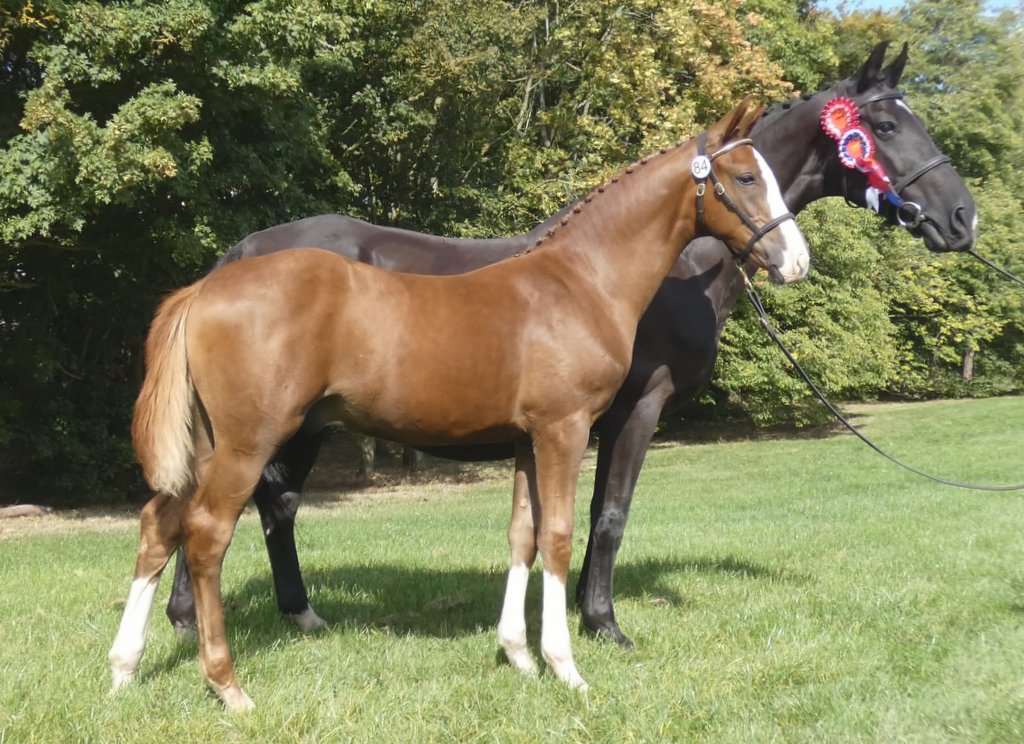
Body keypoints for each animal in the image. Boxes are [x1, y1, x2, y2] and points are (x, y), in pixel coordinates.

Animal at [108, 99, 810, 711]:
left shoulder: (528, 440)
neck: (580, 283)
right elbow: (559, 536)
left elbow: (522, 535)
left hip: (208, 444)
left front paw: (518, 656)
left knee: (159, 524)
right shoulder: (566, 430)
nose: (796, 260)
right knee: (207, 534)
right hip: (251, 441)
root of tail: (205, 287)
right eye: (746, 176)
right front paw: (566, 667)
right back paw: (227, 686)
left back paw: (123, 668)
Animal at [162, 42, 977, 648]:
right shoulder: (636, 408)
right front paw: (602, 622)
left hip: (304, 422)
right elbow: (610, 514)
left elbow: (585, 515)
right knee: (241, 503)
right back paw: (201, 619)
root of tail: (237, 257)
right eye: (886, 127)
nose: (961, 218)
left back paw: (289, 615)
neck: (659, 270)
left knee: (272, 504)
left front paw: (580, 612)